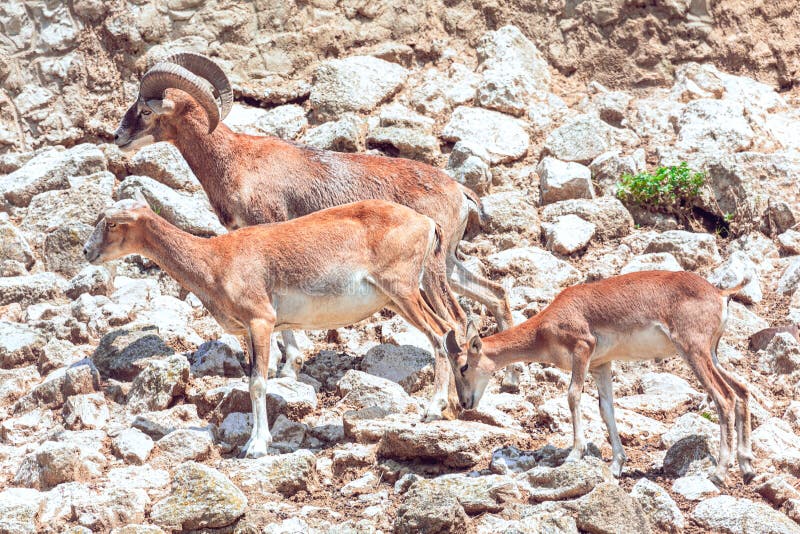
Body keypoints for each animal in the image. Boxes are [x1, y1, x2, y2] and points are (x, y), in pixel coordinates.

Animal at [84, 196, 462, 457]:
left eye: (113, 223)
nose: (87, 251)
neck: (216, 259)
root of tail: (426, 223)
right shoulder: (248, 333)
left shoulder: (261, 322)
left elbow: (258, 383)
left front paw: (257, 446)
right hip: (402, 297)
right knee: (449, 329)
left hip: (402, 291)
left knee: (439, 335)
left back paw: (433, 409)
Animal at [112, 53, 520, 409]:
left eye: (146, 110)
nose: (118, 137)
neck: (236, 161)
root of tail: (460, 192)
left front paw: (287, 368)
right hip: (447, 264)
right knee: (494, 294)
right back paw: (511, 383)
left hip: (428, 277)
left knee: (457, 321)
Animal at [443, 270, 756, 486]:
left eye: (463, 366)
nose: (465, 403)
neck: (547, 324)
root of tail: (719, 293)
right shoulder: (600, 366)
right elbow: (607, 410)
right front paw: (616, 466)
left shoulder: (582, 349)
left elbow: (572, 396)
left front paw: (574, 454)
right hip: (711, 354)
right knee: (742, 390)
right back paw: (747, 468)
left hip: (693, 351)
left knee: (724, 397)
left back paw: (719, 473)